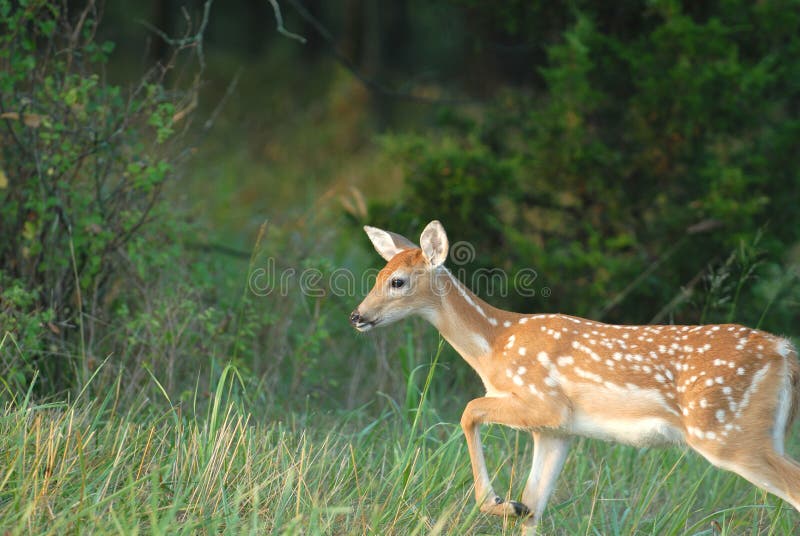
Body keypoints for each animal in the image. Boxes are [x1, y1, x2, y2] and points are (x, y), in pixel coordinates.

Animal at [350, 220, 800, 532]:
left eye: (397, 281)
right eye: (376, 276)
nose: (357, 316)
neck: (495, 342)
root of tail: (784, 351)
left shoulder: (544, 403)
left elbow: (468, 410)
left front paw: (496, 502)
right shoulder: (557, 430)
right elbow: (534, 506)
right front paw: (514, 506)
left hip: (726, 432)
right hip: (762, 432)